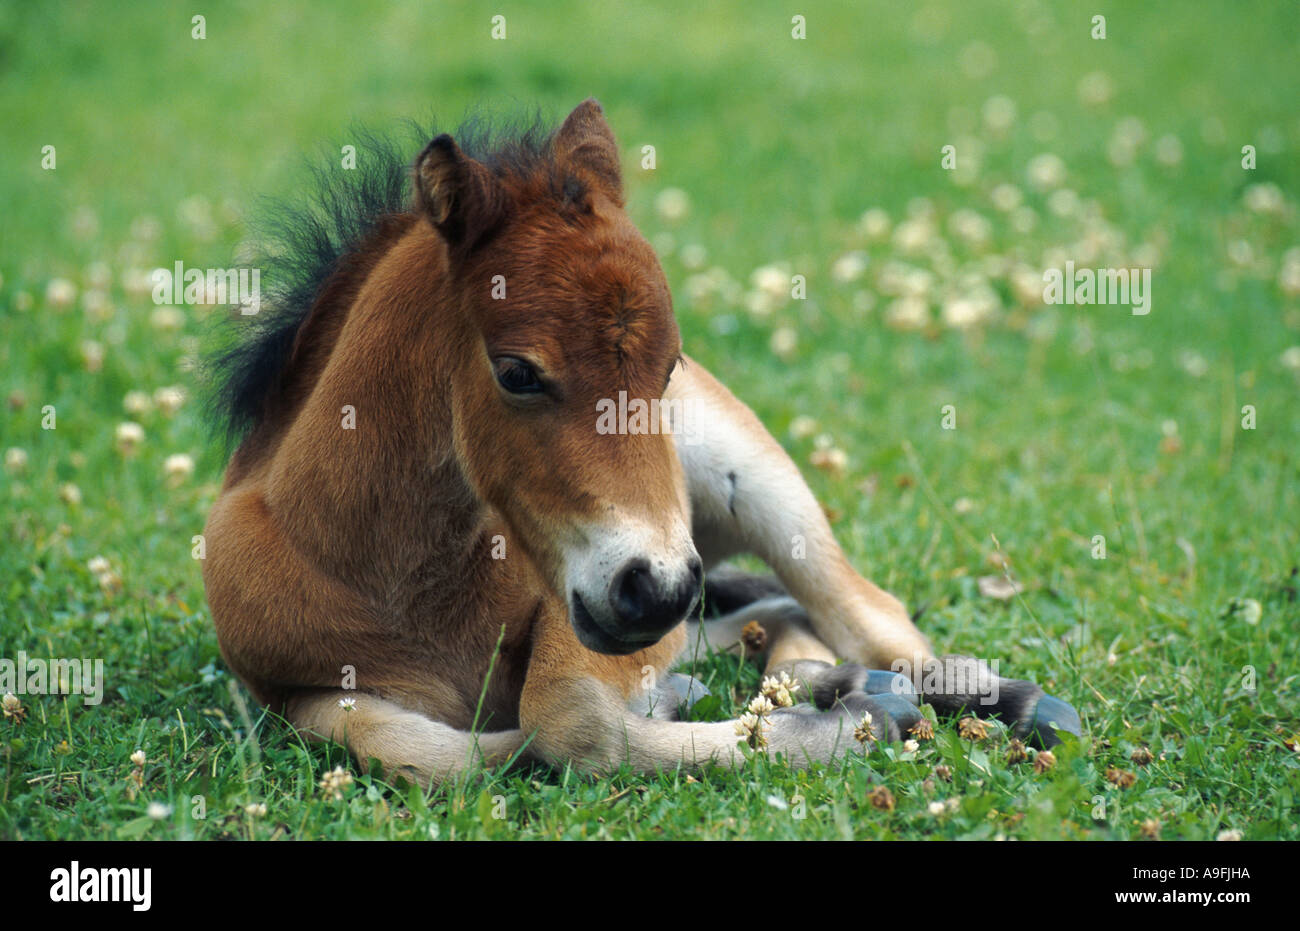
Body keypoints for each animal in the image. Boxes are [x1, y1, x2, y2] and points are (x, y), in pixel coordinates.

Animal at [202, 98, 1080, 786]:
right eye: (516, 372)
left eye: (668, 368)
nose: (655, 586)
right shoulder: (288, 691)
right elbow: (419, 746)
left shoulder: (582, 610)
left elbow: (562, 714)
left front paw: (846, 725)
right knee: (769, 617)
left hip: (747, 480)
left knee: (863, 613)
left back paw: (982, 696)